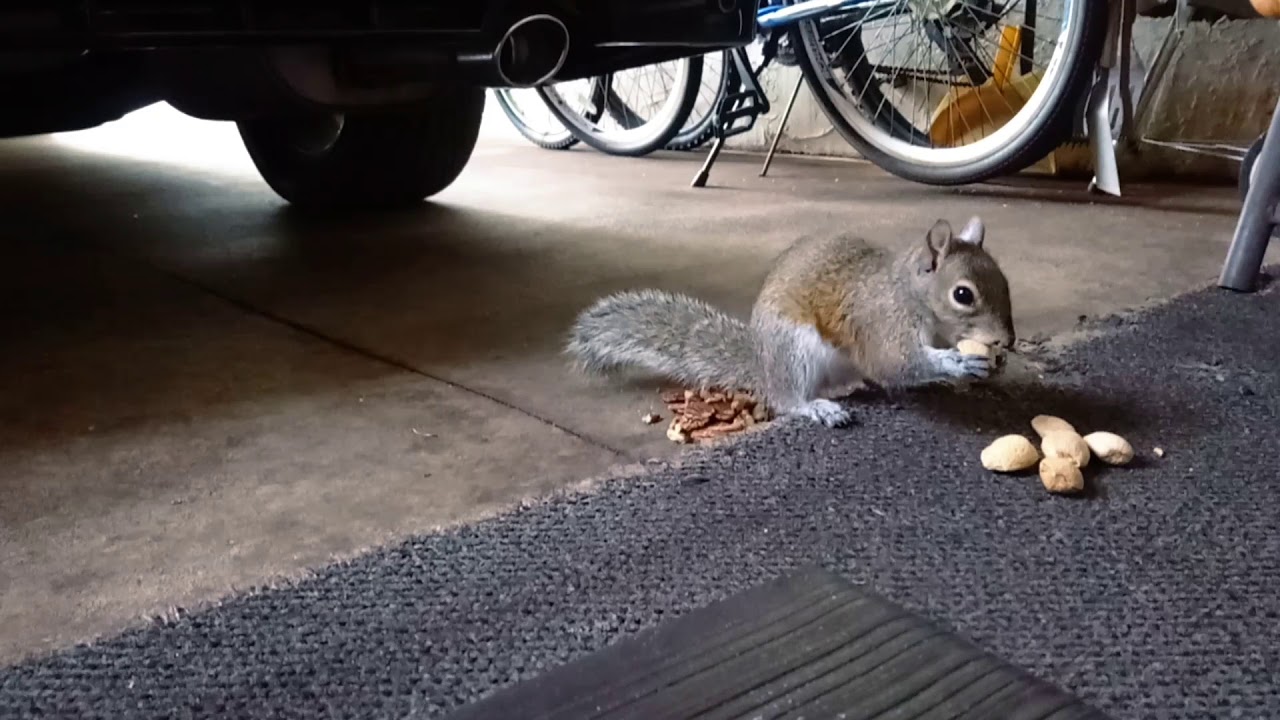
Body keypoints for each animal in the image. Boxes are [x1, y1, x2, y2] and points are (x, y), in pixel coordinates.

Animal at [566, 216, 1016, 428]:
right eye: (963, 295)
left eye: (1005, 280)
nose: (1008, 341)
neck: (909, 293)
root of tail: (763, 366)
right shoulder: (881, 324)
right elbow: (896, 363)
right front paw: (956, 362)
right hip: (795, 352)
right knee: (787, 401)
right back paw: (816, 407)